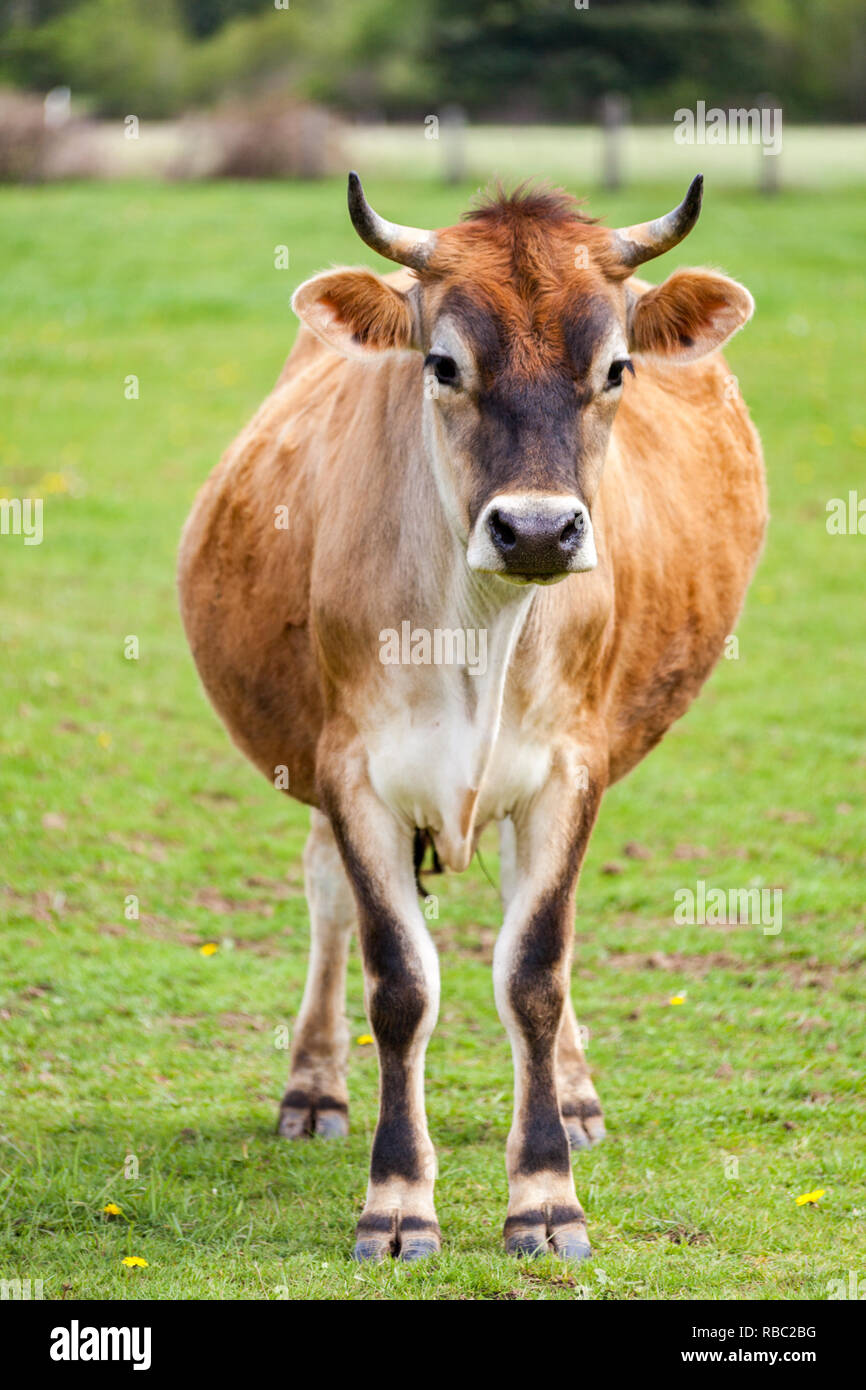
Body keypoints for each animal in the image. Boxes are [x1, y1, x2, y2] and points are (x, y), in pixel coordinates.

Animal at [178, 173, 766, 1262]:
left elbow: (531, 968)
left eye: (615, 366)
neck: (474, 631)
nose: (535, 529)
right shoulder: (354, 773)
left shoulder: (568, 770)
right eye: (443, 363)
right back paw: (314, 1087)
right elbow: (400, 984)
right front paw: (397, 1201)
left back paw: (572, 1094)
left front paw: (546, 1193)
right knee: (325, 897)